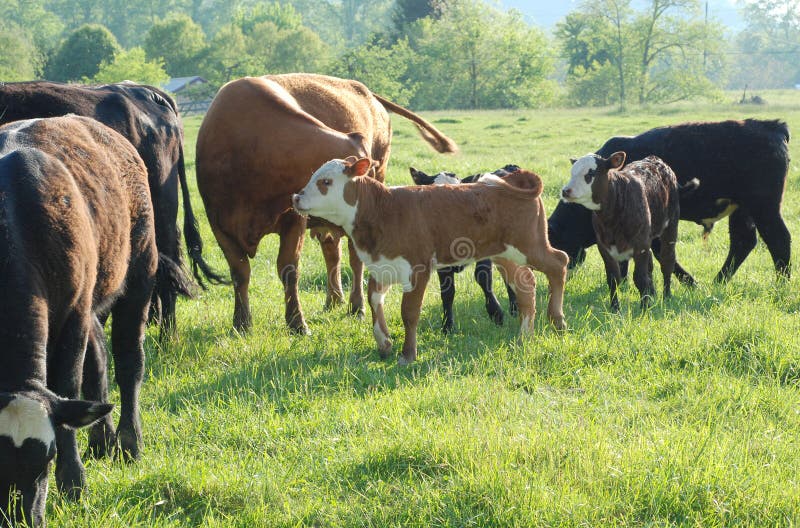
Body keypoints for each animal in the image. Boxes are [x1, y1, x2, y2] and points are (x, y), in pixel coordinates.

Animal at [0, 116, 158, 527]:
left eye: (48, 457)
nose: (20, 519)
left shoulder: (72, 316)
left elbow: (66, 384)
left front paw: (74, 483)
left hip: (139, 272)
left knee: (129, 361)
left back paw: (129, 443)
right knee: (99, 362)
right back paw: (102, 441)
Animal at [195, 74, 457, 334]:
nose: (376, 198)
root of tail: (368, 93)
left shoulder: (294, 220)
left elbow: (289, 270)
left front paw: (296, 323)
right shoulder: (219, 225)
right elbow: (240, 273)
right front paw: (241, 323)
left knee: (354, 260)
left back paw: (356, 305)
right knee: (332, 254)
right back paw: (334, 300)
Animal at [548, 119, 791, 282]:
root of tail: (772, 127)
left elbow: (659, 254)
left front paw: (690, 282)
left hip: (765, 208)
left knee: (778, 239)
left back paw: (782, 283)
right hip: (744, 209)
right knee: (743, 242)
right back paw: (719, 281)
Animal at [562, 153, 689, 310]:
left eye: (590, 173)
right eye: (572, 172)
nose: (565, 191)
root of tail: (655, 159)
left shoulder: (640, 245)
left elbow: (640, 278)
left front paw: (644, 308)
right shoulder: (604, 246)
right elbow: (613, 279)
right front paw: (615, 308)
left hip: (670, 226)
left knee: (667, 261)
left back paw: (666, 296)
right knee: (651, 263)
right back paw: (652, 294)